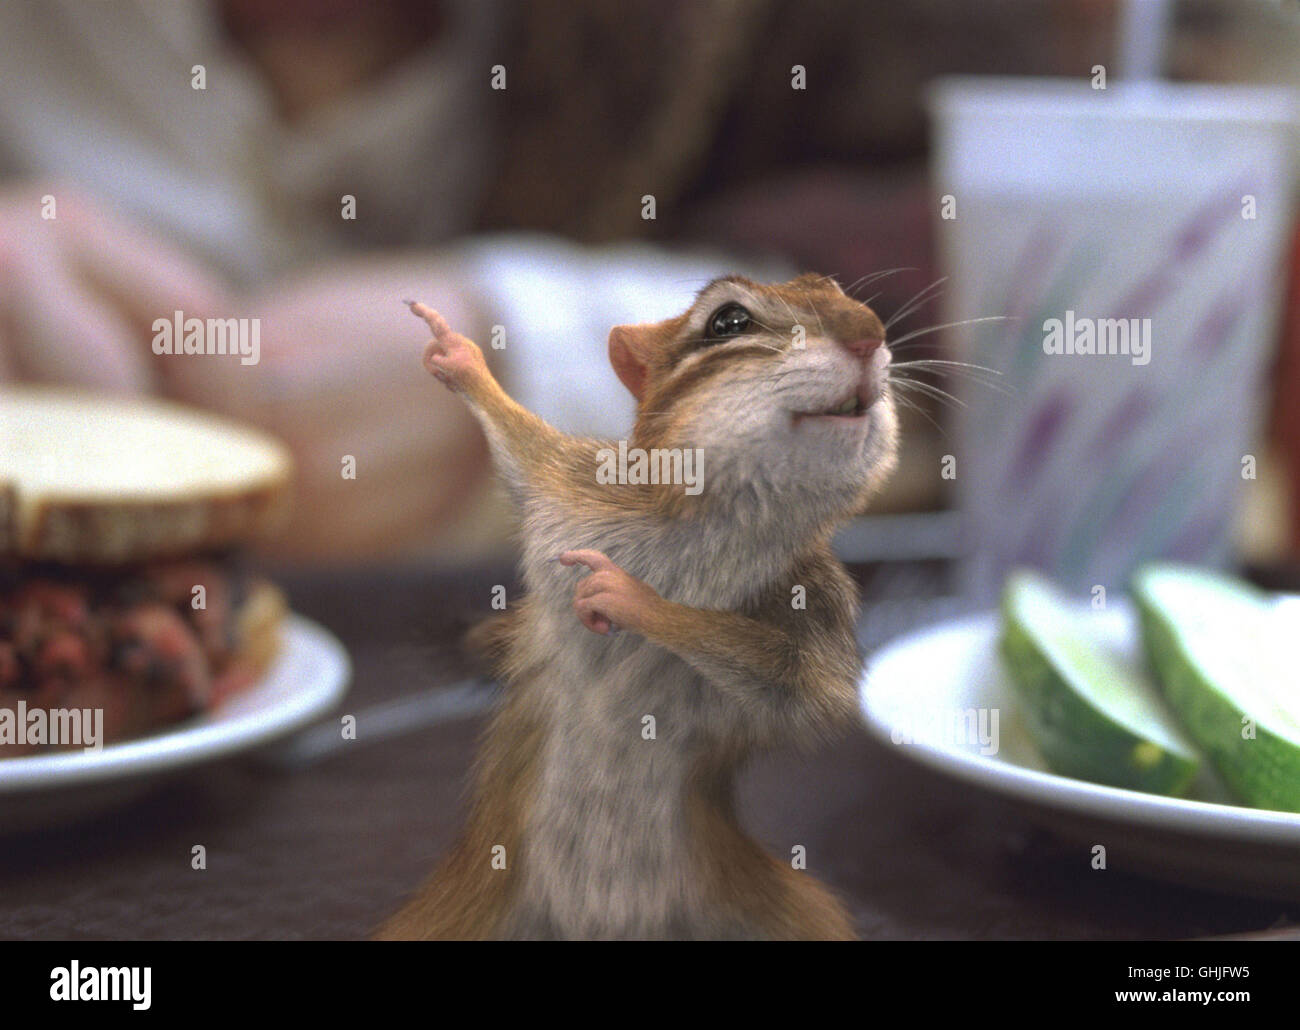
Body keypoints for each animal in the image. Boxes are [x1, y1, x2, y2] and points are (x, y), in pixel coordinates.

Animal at [376, 273, 898, 940]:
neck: (716, 532)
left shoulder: (819, 607)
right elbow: (523, 449)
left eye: (837, 289)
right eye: (729, 322)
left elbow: (811, 691)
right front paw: (459, 355)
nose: (870, 334)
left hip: (782, 913)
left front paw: (630, 596)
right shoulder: (568, 489)